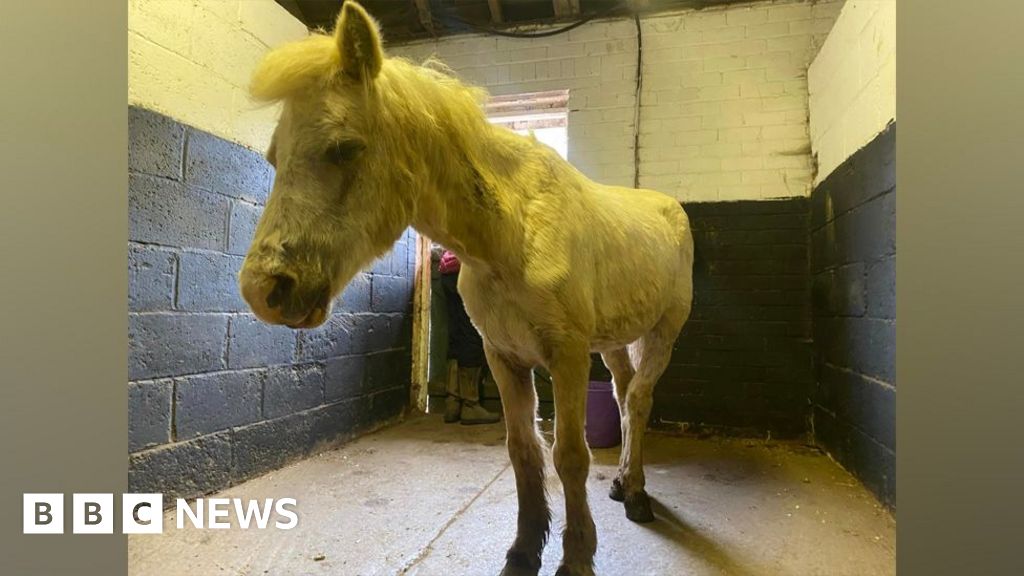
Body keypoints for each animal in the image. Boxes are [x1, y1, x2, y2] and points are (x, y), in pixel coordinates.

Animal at [238, 3, 693, 575]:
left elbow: (570, 455)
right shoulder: (503, 356)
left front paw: (576, 557)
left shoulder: (566, 357)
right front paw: (523, 551)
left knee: (639, 400)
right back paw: (623, 485)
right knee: (625, 394)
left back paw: (636, 494)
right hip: (612, 343)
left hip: (661, 335)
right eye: (273, 157)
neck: (510, 236)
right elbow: (523, 451)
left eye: (345, 148)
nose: (262, 289)